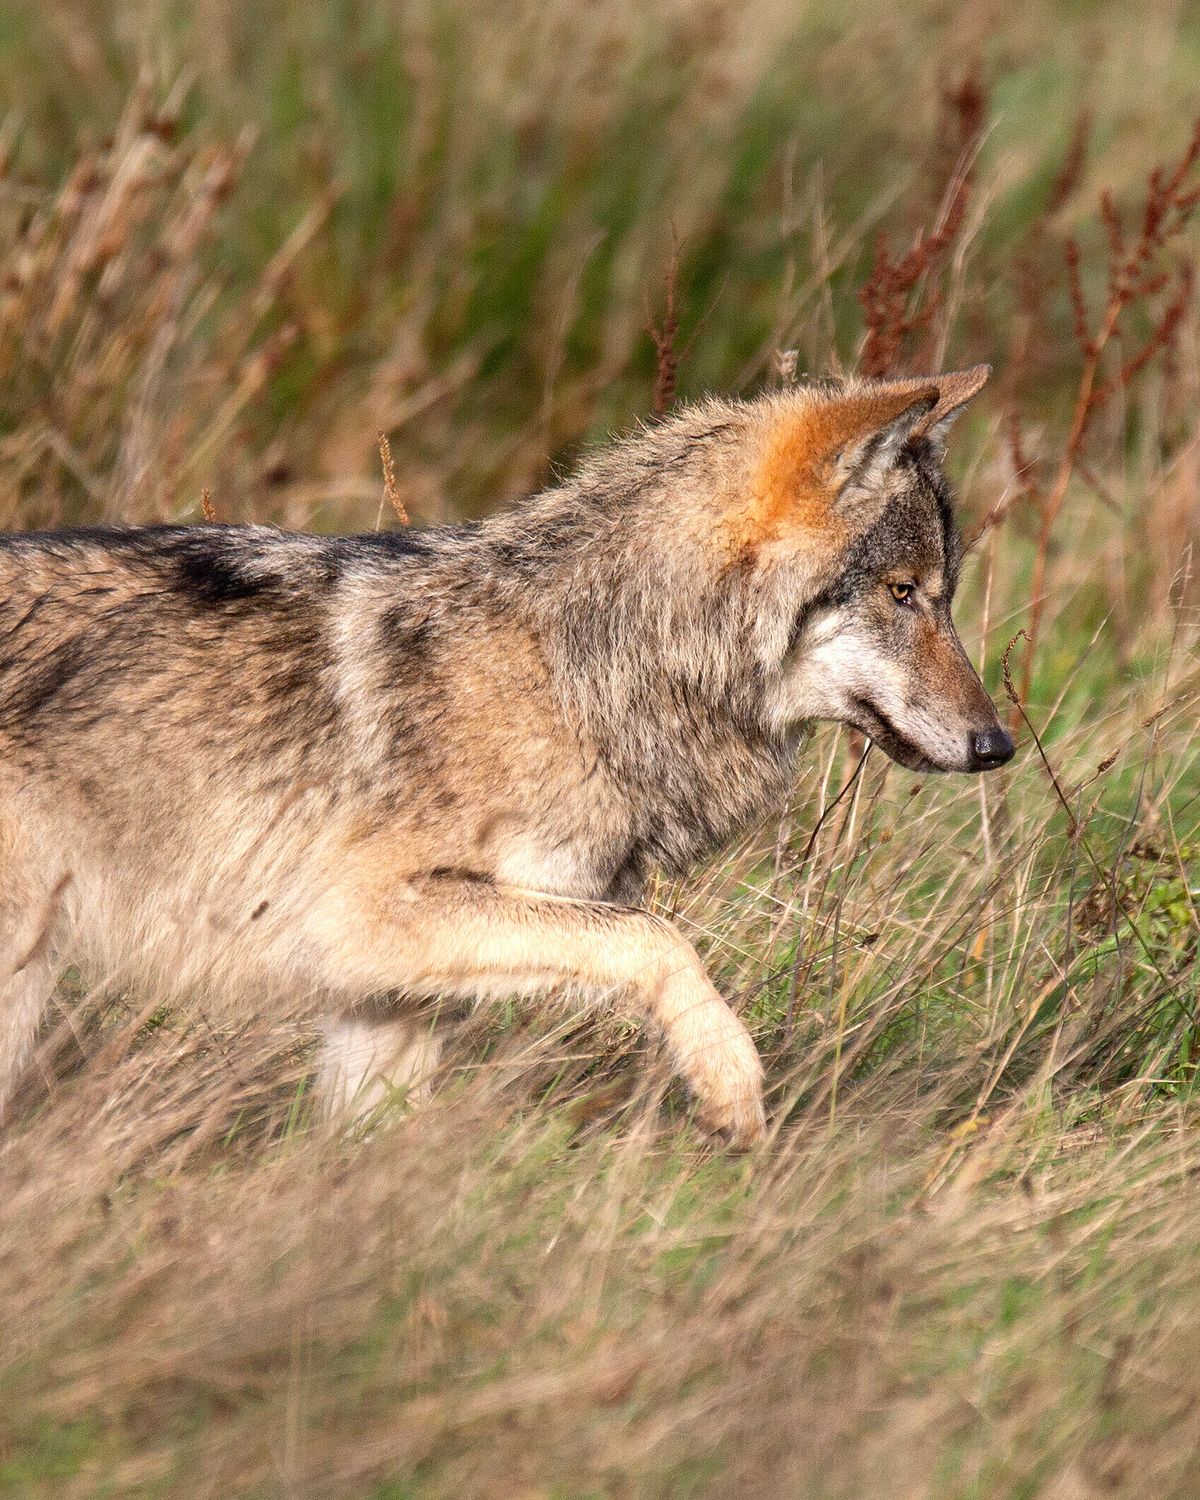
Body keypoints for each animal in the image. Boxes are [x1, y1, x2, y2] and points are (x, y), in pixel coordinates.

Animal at [0, 365, 1012, 1144]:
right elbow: (659, 940)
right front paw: (731, 1085)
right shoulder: (367, 920)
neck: (583, 665)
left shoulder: (384, 999)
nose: (998, 745)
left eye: (944, 592)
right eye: (903, 591)